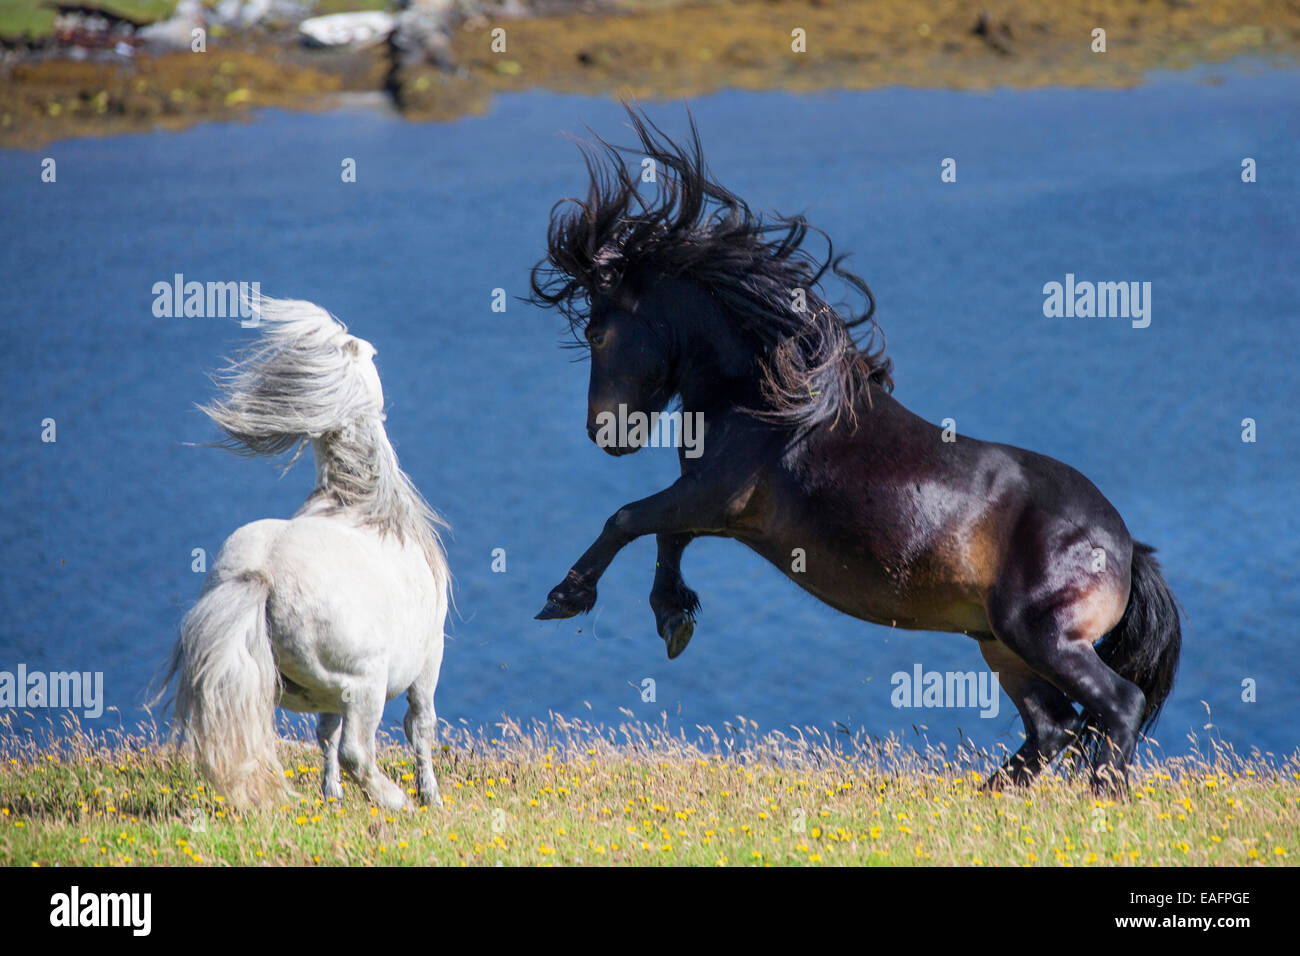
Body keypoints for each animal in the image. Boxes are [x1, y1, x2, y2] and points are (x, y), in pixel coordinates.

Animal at [159, 297, 451, 810]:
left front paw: (330, 794)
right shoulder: (429, 657)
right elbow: (421, 726)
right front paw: (430, 796)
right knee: (359, 750)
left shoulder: (327, 695)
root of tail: (262, 576)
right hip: (365, 685)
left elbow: (325, 734)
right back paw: (394, 799)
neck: (360, 502)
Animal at [530, 107, 1181, 794]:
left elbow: (628, 519)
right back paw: (987, 798)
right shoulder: (708, 506)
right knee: (1052, 726)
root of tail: (1126, 549)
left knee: (1115, 705)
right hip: (999, 642)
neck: (767, 392)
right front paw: (673, 617)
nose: (602, 432)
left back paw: (1101, 796)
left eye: (596, 332)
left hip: (1042, 635)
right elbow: (664, 536)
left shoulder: (715, 497)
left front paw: (567, 598)